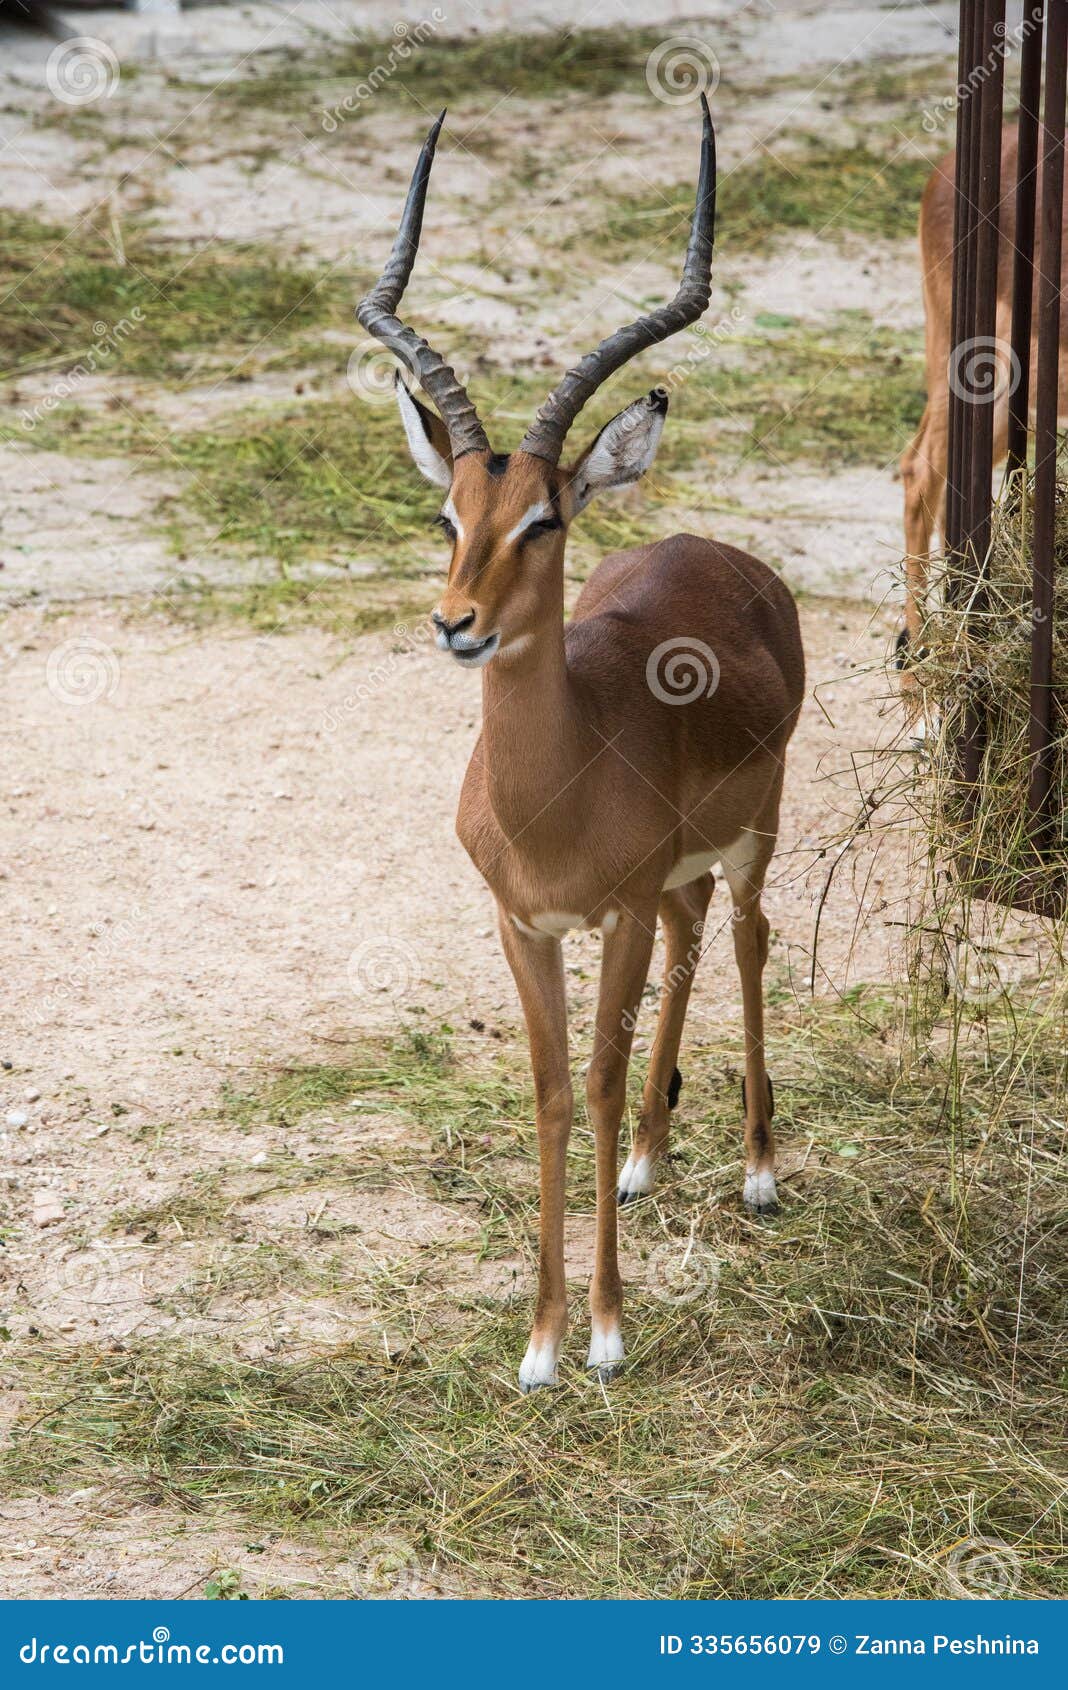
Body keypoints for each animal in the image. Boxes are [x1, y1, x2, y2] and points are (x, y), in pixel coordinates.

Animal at [358, 101, 805, 1391]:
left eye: (544, 519)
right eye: (448, 514)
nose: (457, 623)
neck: (552, 793)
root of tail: (718, 552)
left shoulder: (609, 914)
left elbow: (597, 1081)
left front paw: (604, 1332)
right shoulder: (526, 922)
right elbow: (556, 1092)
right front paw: (541, 1341)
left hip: (754, 834)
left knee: (747, 937)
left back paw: (758, 1170)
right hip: (675, 878)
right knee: (697, 941)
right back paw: (652, 1159)